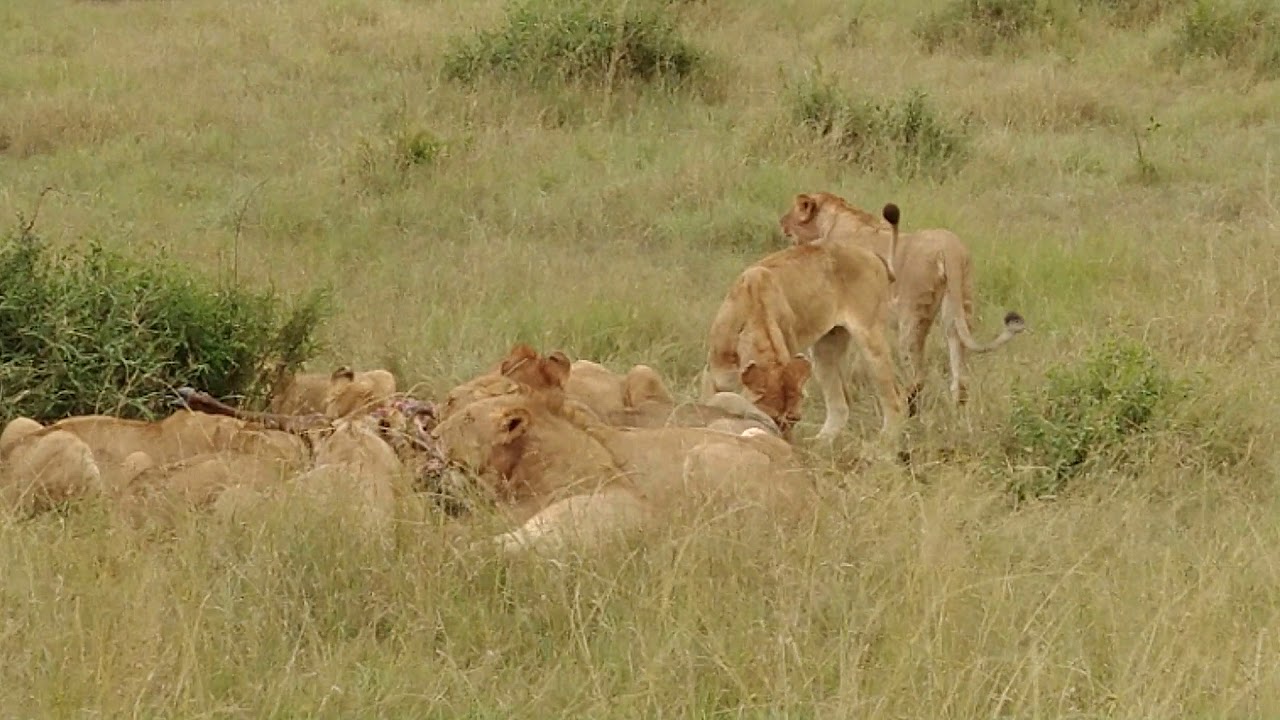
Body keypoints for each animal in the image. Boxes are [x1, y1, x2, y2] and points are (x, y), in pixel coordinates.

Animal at [702, 206, 906, 450]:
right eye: (770, 418)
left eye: (795, 419)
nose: (787, 446)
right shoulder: (714, 378)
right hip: (823, 353)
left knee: (895, 398)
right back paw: (821, 444)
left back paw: (882, 446)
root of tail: (872, 255)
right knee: (841, 403)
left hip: (870, 337)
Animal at [779, 191, 1026, 414]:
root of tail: (950, 248)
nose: (781, 222)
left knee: (917, 374)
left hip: (912, 315)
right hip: (960, 306)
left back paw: (909, 409)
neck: (834, 219)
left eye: (792, 211)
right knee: (960, 372)